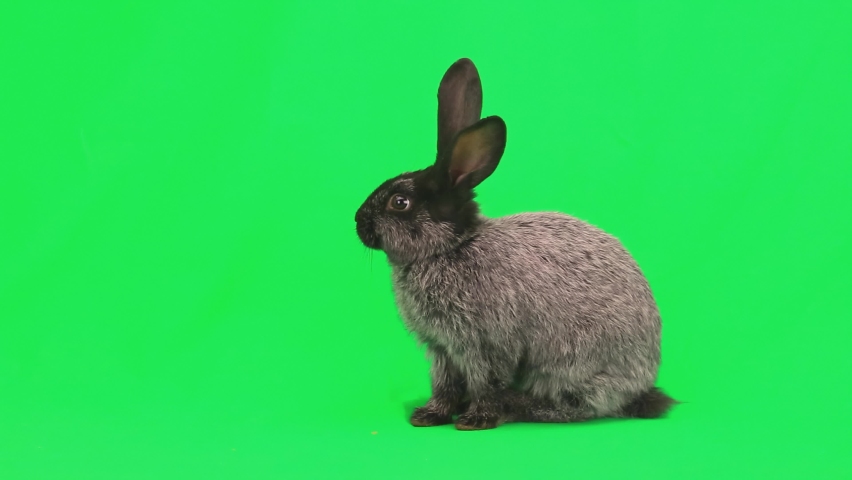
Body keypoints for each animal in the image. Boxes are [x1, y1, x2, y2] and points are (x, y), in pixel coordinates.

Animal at [354, 58, 676, 430]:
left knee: (577, 406)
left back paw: (520, 406)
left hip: (572, 369)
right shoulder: (441, 350)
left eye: (400, 202)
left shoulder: (484, 345)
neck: (449, 248)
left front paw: (473, 420)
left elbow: (487, 383)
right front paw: (429, 416)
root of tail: (642, 382)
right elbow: (444, 384)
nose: (357, 221)